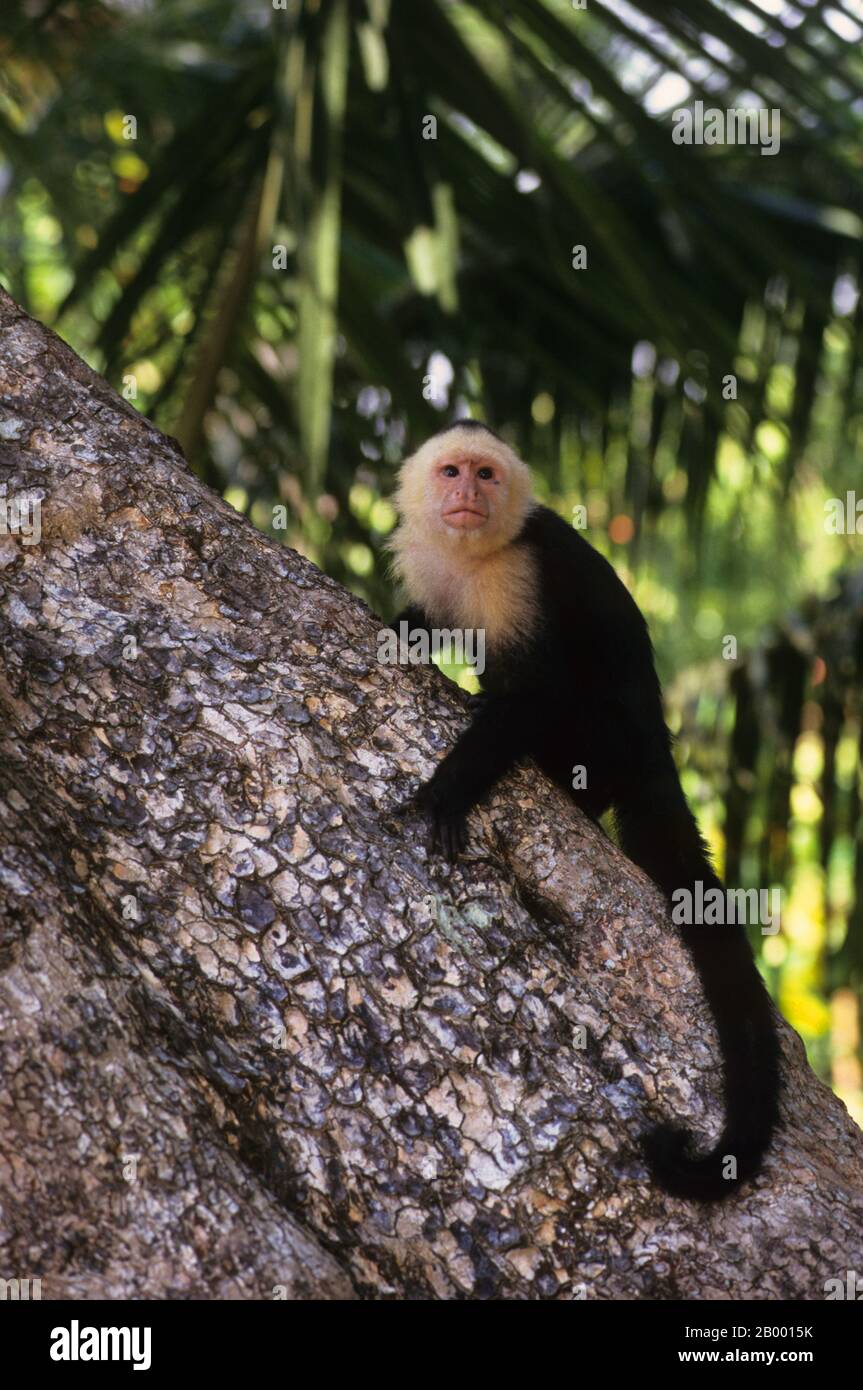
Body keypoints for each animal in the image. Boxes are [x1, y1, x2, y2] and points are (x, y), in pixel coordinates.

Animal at [387, 419, 781, 1202]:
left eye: (485, 474)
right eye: (450, 472)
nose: (468, 493)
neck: (470, 554)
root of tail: (656, 745)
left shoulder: (521, 571)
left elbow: (535, 687)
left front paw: (449, 790)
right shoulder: (427, 558)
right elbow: (433, 623)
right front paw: (402, 627)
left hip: (612, 742)